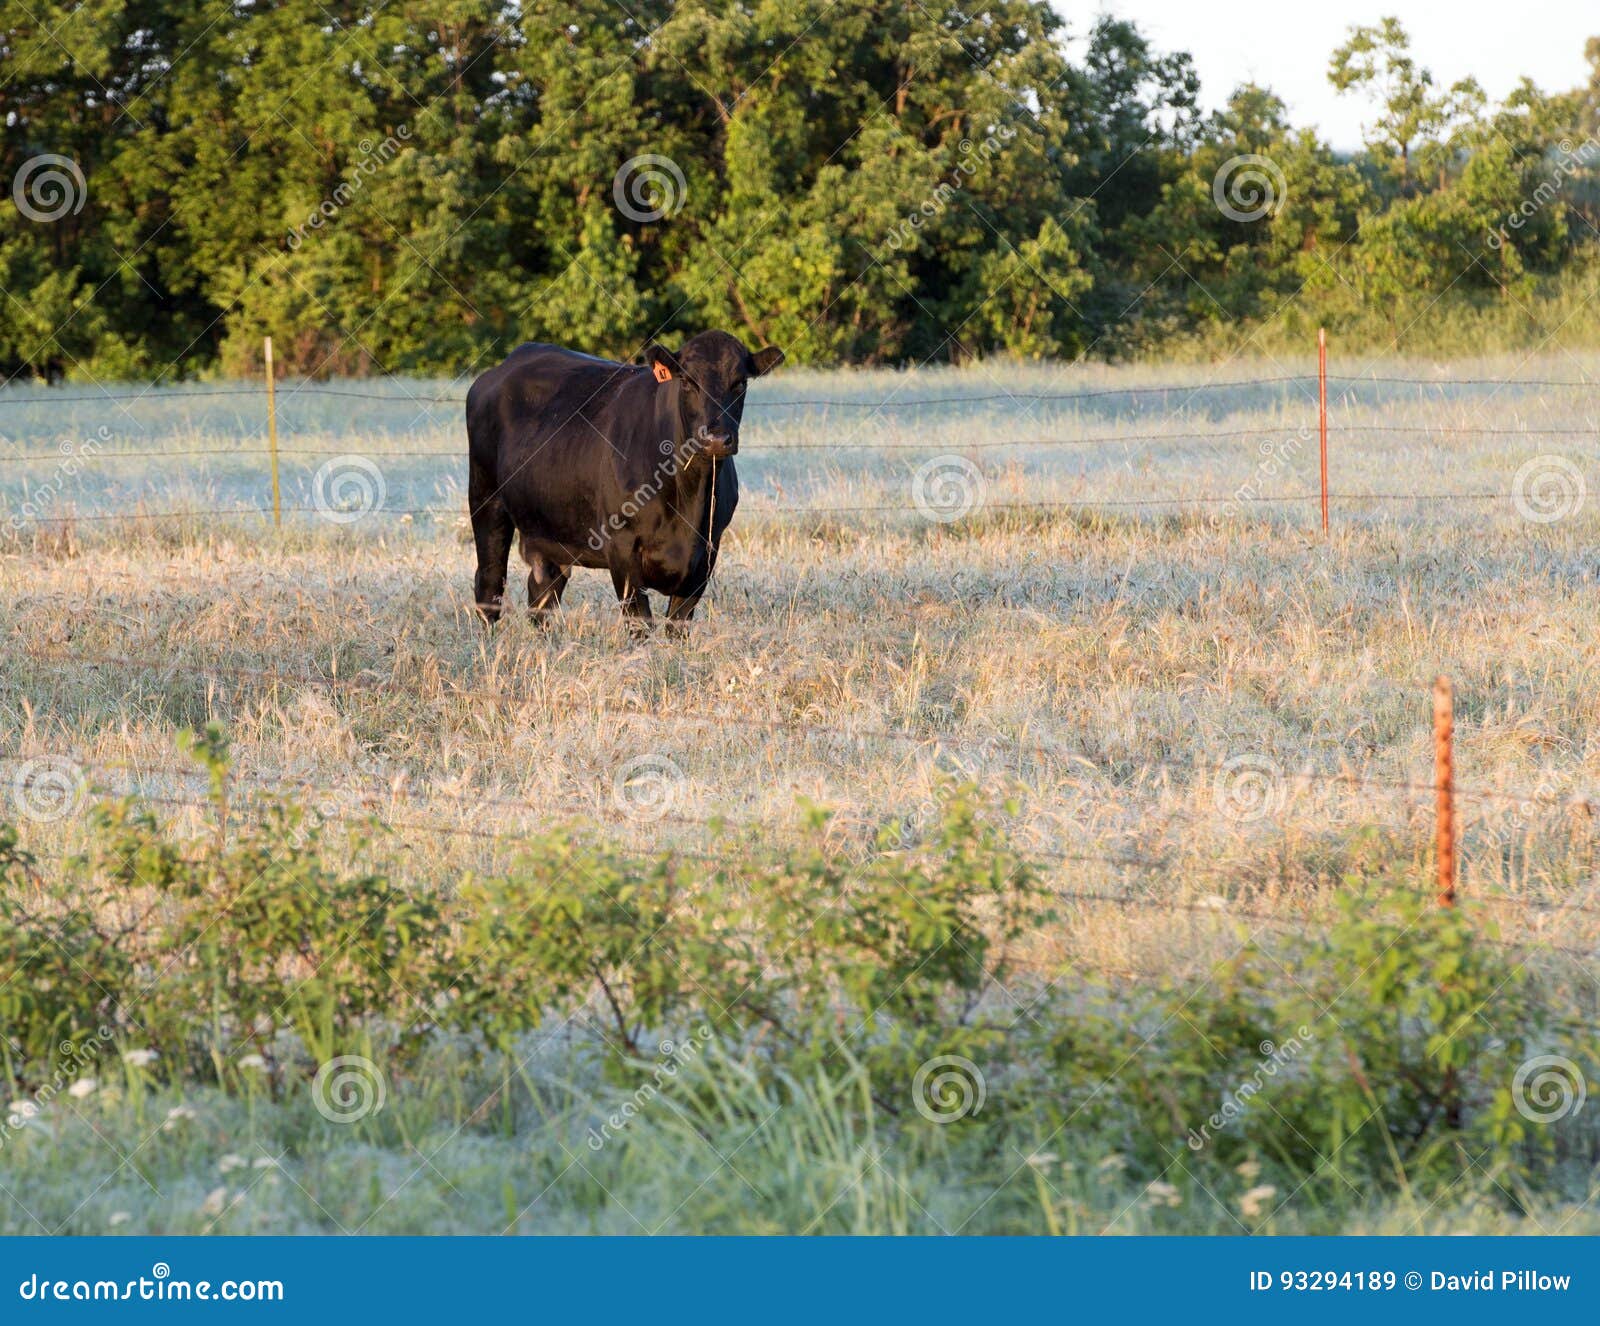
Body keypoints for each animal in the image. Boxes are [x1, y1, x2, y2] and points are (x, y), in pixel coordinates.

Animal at [465, 330, 784, 631]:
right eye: (687, 381)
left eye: (740, 383)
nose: (716, 439)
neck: (689, 498)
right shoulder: (621, 546)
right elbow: (639, 621)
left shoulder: (707, 551)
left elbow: (678, 625)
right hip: (486, 500)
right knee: (489, 585)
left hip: (550, 531)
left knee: (542, 594)